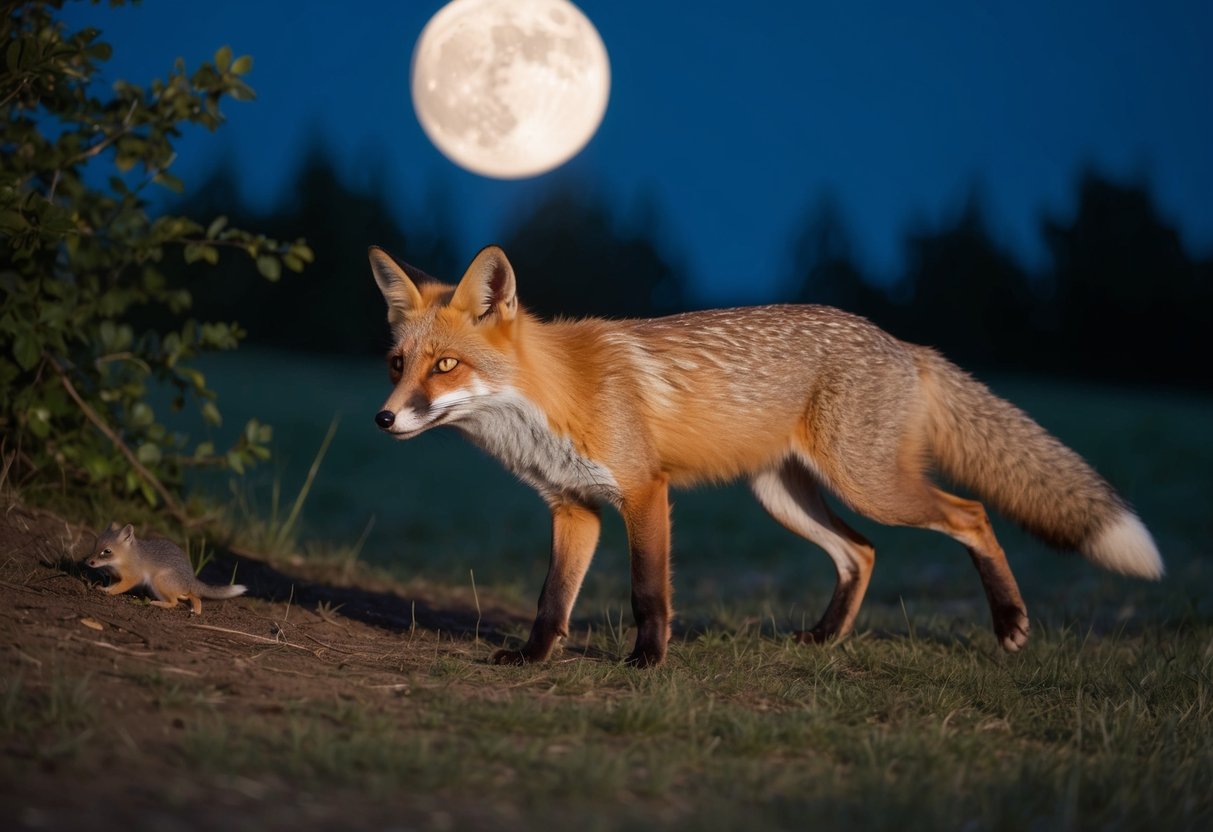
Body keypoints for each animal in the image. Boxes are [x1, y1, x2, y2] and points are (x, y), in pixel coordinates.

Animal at [87, 522, 247, 615]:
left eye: (107, 551)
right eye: (95, 545)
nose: (88, 562)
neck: (124, 558)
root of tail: (191, 579)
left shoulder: (132, 578)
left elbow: (118, 588)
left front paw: (109, 592)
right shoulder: (115, 576)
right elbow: (111, 585)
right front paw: (103, 588)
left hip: (159, 581)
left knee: (175, 603)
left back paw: (157, 603)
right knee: (191, 596)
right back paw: (195, 609)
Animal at [368, 244, 1163, 667]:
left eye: (445, 366)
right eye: (397, 364)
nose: (383, 418)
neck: (552, 398)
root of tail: (903, 343)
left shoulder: (644, 493)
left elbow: (648, 591)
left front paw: (647, 661)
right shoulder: (574, 508)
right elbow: (551, 599)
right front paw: (534, 659)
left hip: (870, 484)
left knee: (968, 514)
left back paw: (1008, 623)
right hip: (784, 497)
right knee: (862, 552)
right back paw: (826, 638)